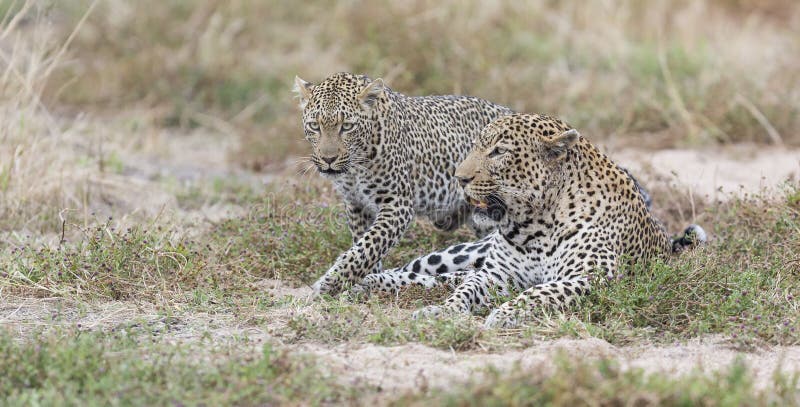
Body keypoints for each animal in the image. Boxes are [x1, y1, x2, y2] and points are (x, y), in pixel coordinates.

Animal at [352, 113, 706, 329]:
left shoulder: (591, 277)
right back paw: (369, 281)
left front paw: (503, 314)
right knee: (428, 271)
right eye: (477, 146)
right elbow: (467, 291)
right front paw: (444, 311)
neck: (536, 225)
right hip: (465, 252)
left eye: (498, 152)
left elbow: (539, 292)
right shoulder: (496, 274)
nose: (459, 178)